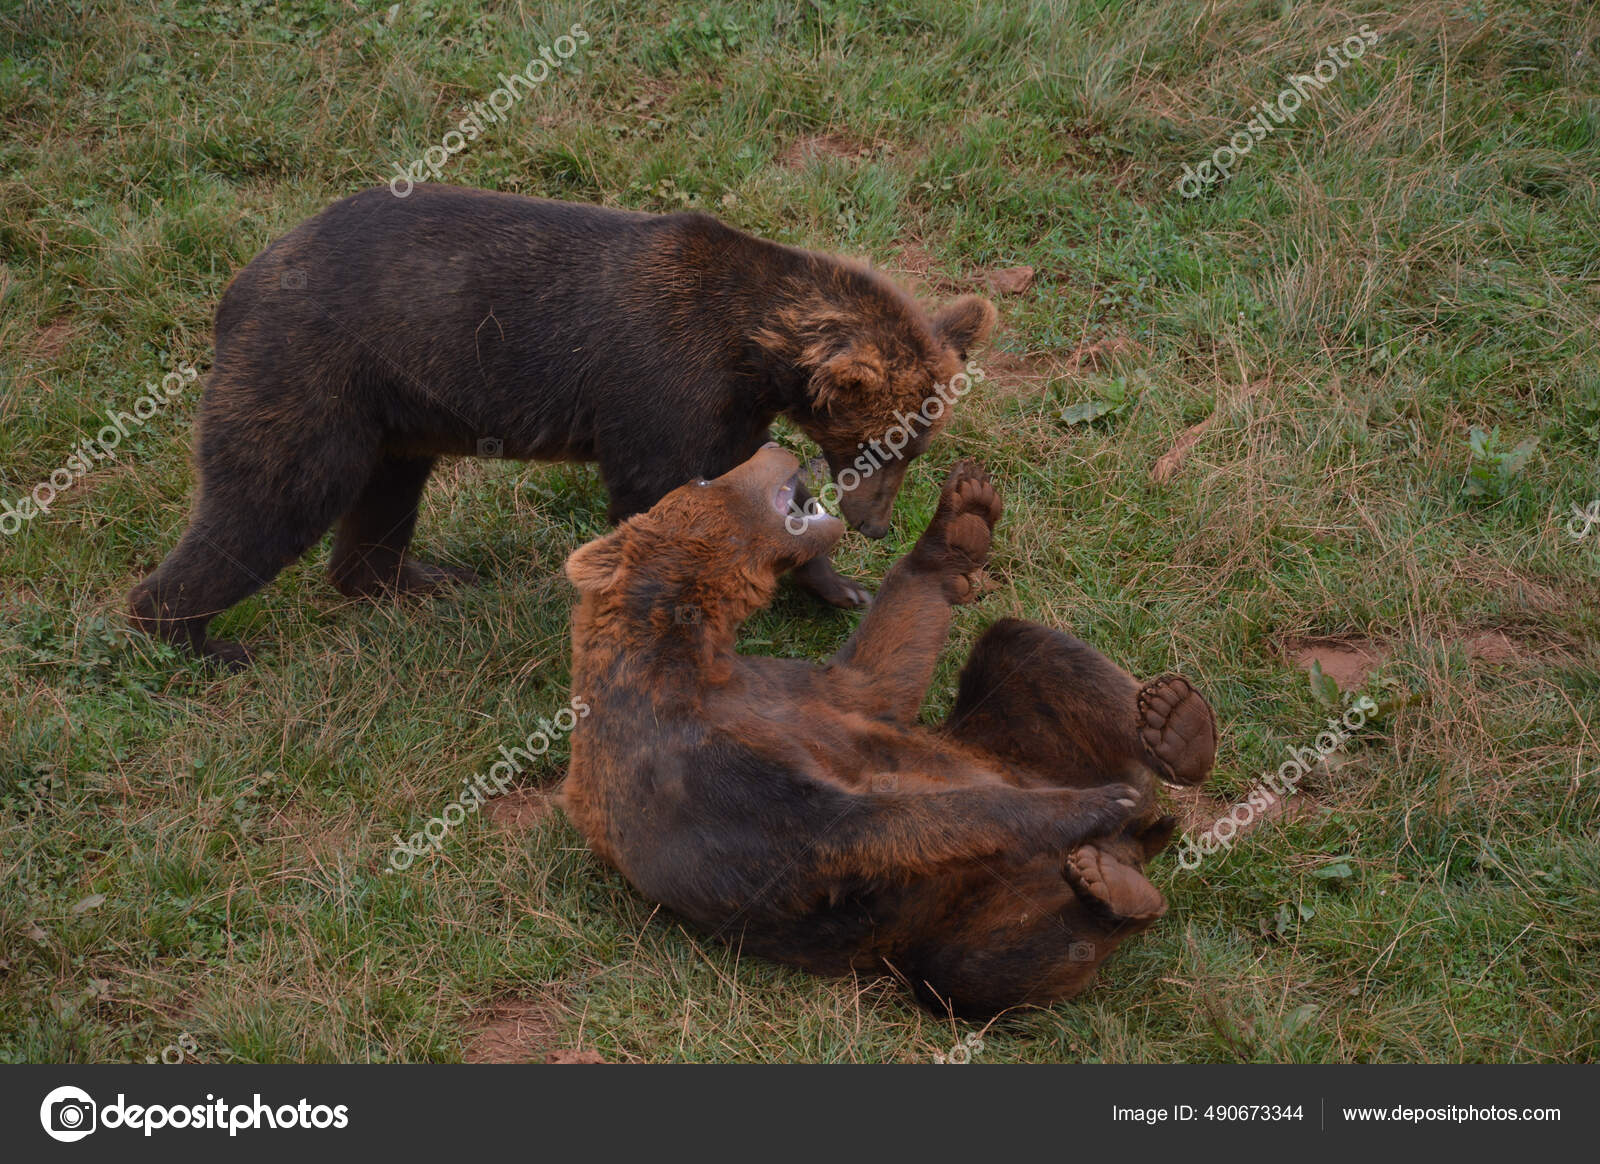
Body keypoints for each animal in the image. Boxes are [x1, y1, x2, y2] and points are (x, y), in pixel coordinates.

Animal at [126, 184, 997, 666]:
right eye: (883, 446)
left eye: (915, 447)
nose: (877, 523)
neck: (754, 348)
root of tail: (239, 286)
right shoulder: (660, 383)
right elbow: (662, 493)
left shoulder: (729, 410)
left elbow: (762, 492)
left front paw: (839, 585)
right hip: (314, 372)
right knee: (274, 494)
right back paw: (194, 636)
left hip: (394, 408)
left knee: (384, 492)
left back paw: (419, 579)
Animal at [558, 444, 1218, 1017]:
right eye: (699, 480)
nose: (775, 444)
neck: (680, 653)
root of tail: (1136, 847)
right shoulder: (696, 774)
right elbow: (859, 825)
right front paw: (1087, 805)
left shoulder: (783, 688)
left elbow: (880, 673)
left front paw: (961, 519)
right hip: (956, 921)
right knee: (984, 968)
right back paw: (1113, 888)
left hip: (1019, 744)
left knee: (1024, 647)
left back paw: (1175, 728)